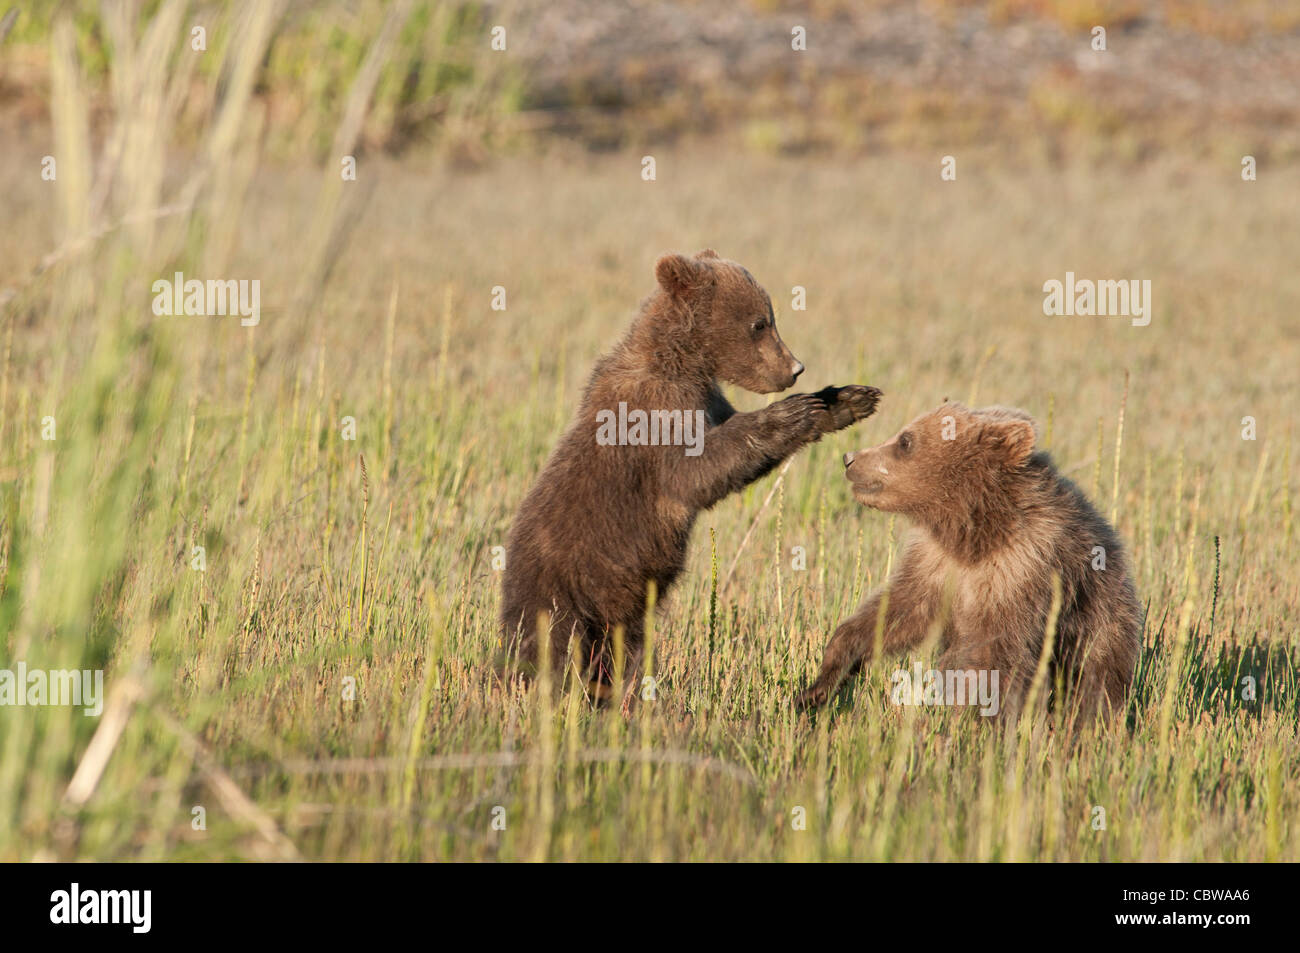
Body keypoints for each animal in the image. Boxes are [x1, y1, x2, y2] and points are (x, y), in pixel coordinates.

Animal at [502, 249, 881, 694]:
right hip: (563, 589)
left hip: (624, 612)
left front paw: (846, 399)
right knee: (551, 648)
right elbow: (694, 472)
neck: (682, 361)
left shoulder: (706, 398)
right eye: (759, 322)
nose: (795, 367)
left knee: (626, 651)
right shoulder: (653, 411)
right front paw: (790, 412)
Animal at [796, 402, 1142, 722]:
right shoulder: (936, 562)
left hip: (1101, 628)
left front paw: (961, 719)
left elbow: (994, 656)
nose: (850, 457)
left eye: (906, 441)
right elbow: (899, 610)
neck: (974, 535)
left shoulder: (1021, 572)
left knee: (1094, 686)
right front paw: (820, 683)